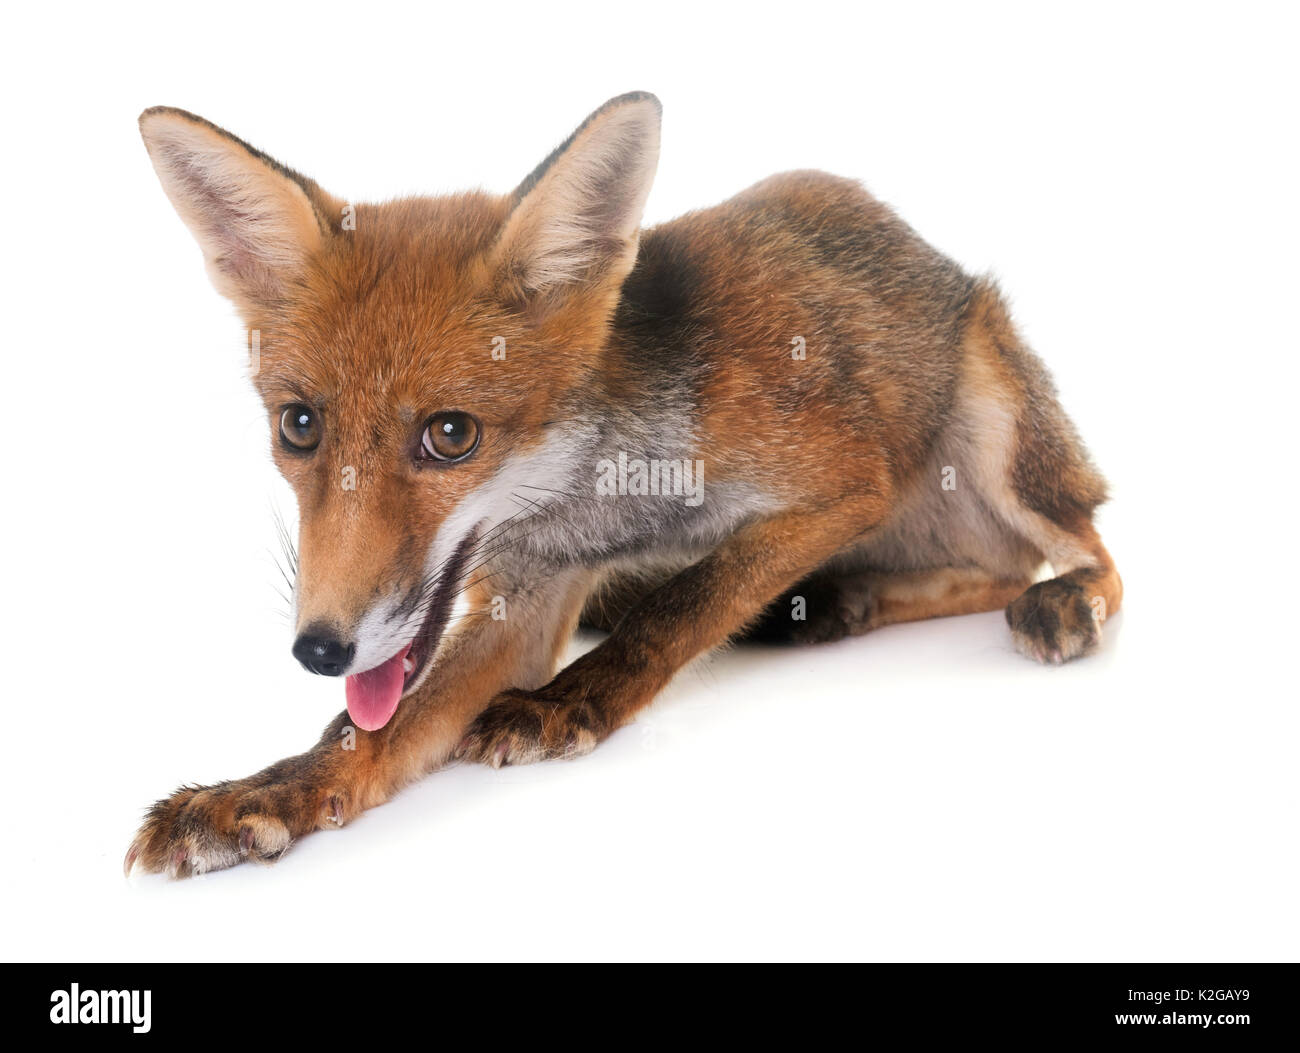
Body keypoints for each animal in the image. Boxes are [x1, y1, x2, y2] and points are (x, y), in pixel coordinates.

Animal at [126, 92, 1121, 877]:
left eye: (450, 435)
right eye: (298, 426)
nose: (321, 649)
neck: (600, 507)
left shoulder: (844, 479)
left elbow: (682, 601)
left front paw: (570, 701)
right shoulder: (528, 596)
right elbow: (376, 733)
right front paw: (267, 792)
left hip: (1000, 421)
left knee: (1053, 559)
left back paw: (1054, 598)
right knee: (988, 565)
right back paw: (844, 600)